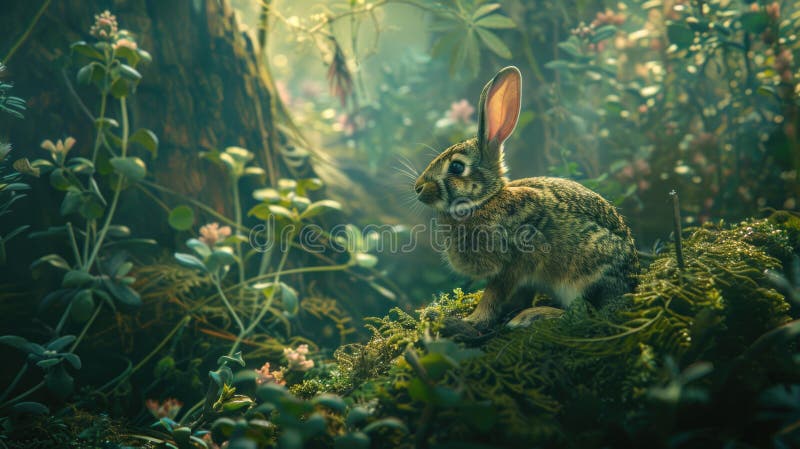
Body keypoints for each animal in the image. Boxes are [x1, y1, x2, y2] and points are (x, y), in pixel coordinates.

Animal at [413, 66, 638, 336]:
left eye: (456, 167)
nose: (418, 188)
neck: (485, 200)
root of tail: (631, 283)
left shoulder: (516, 261)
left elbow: (493, 295)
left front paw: (471, 321)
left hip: (587, 269)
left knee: (585, 314)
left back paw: (532, 316)